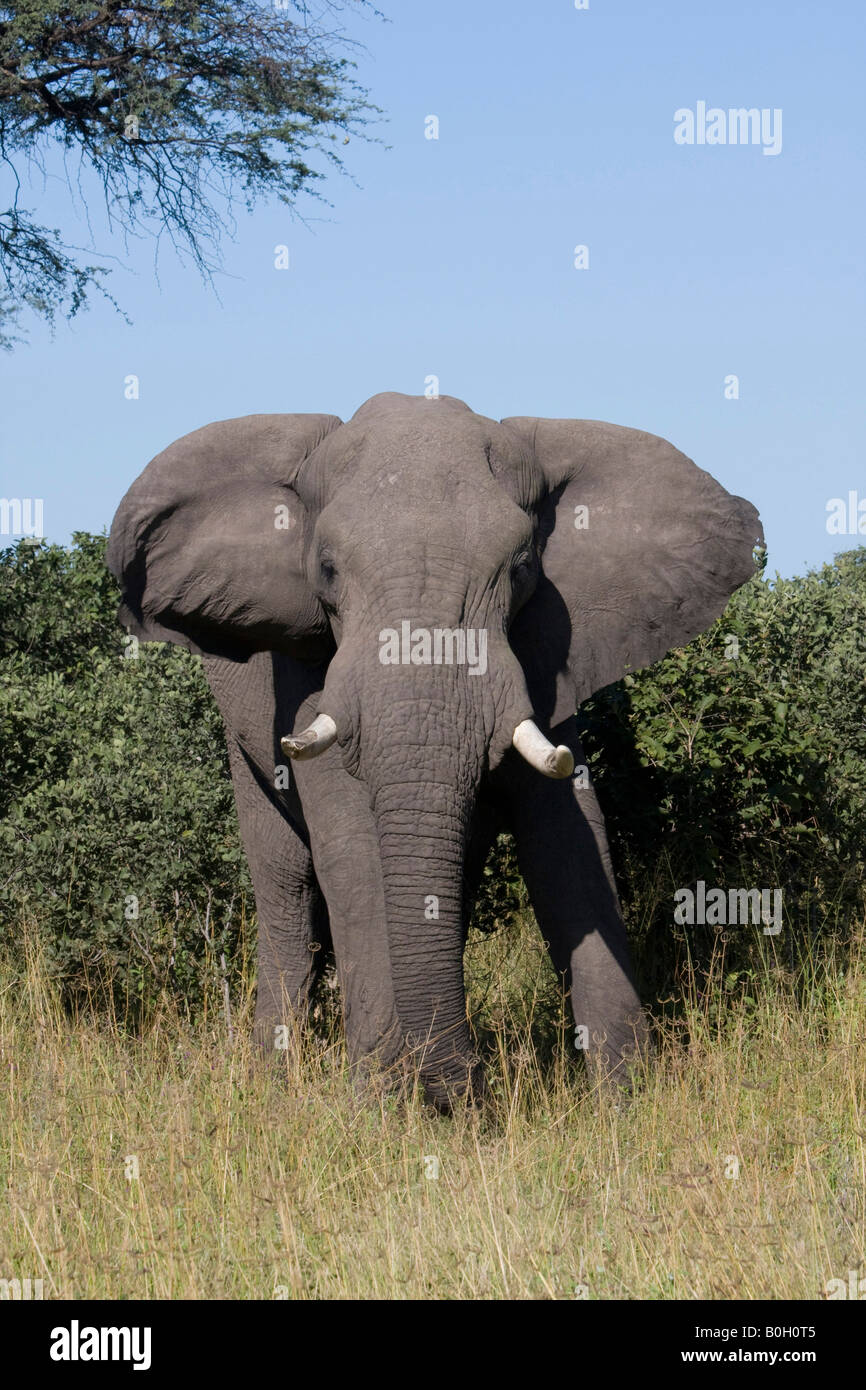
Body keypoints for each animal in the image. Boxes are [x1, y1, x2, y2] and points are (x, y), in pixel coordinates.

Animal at [107, 391, 762, 1107]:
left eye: (521, 567)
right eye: (326, 569)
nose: (457, 1087)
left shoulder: (543, 651)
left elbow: (570, 835)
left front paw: (626, 1102)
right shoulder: (306, 668)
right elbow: (352, 846)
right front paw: (384, 1104)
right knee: (285, 883)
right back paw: (274, 1079)